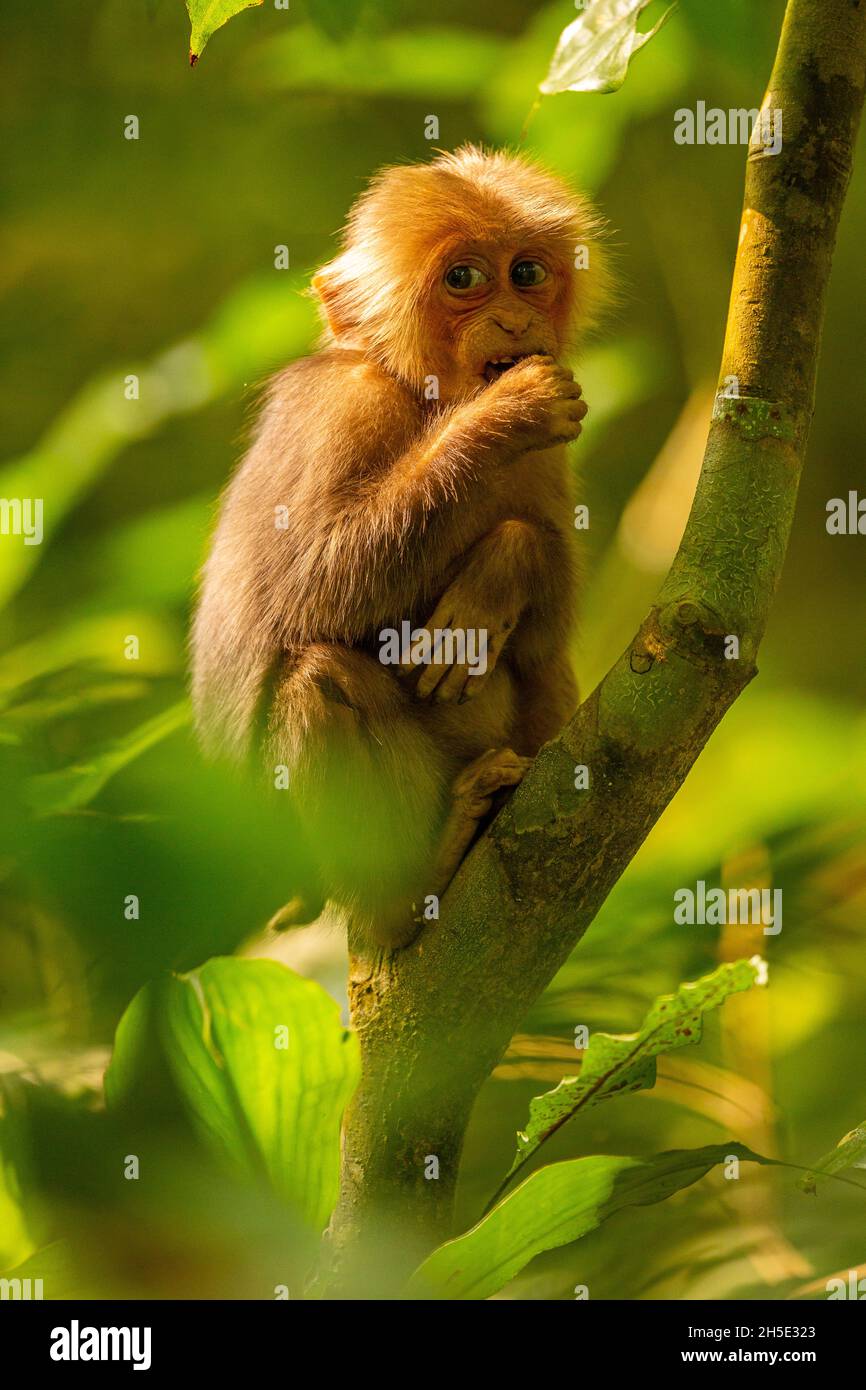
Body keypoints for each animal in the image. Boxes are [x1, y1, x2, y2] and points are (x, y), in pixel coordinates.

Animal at [190, 145, 608, 950]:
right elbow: (308, 591)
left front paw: (500, 575)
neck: (425, 401)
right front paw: (501, 418)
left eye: (527, 273)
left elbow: (544, 630)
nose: (514, 318)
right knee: (315, 678)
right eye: (464, 280)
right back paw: (407, 895)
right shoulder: (345, 409)